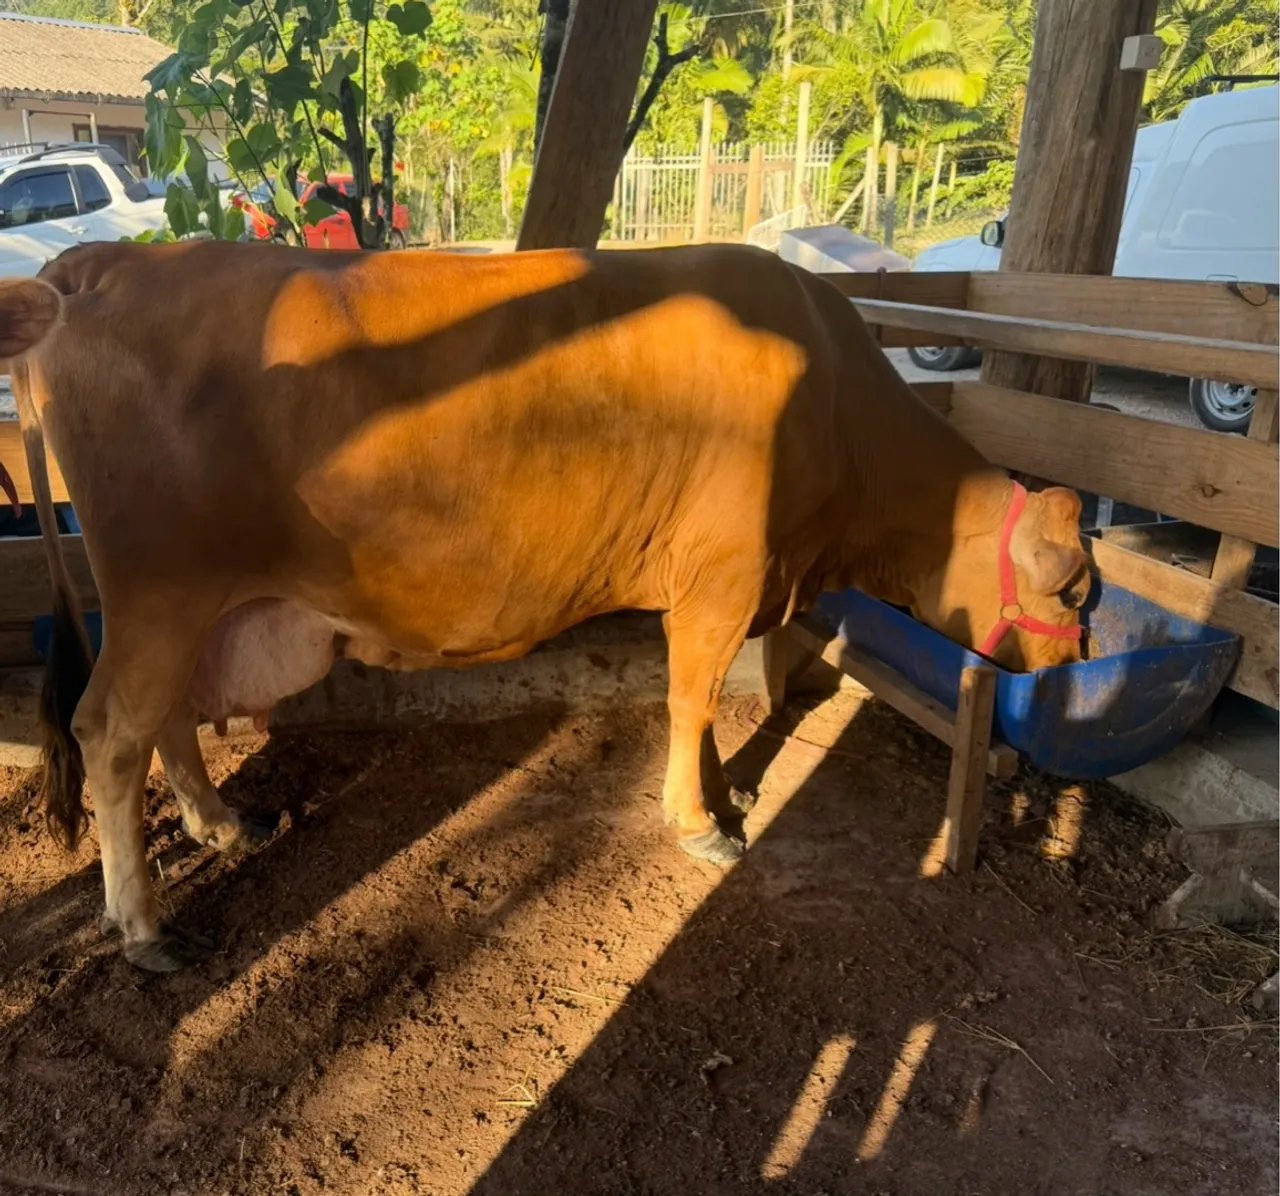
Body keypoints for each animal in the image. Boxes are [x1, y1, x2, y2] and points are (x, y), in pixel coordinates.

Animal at [0, 241, 1089, 972]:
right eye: (1075, 584)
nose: (1072, 663)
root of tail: (102, 262)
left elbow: (702, 705)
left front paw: (726, 796)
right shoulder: (721, 577)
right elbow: (691, 696)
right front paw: (699, 820)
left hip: (189, 604)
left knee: (167, 720)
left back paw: (225, 825)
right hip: (163, 589)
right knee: (111, 731)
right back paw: (145, 926)